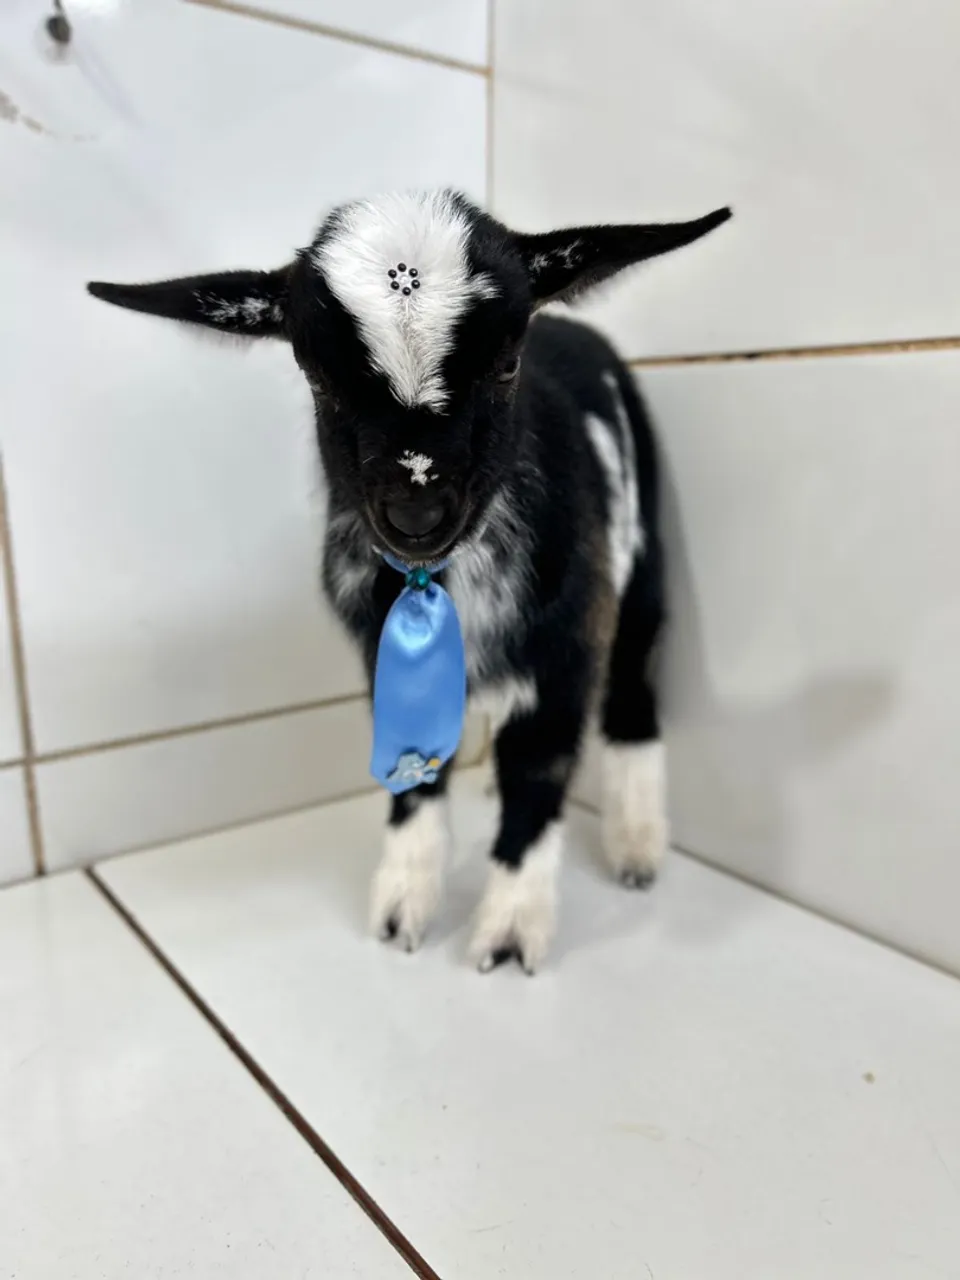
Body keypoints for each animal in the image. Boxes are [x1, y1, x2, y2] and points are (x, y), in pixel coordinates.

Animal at [88, 190, 730, 973]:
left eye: (507, 362)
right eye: (316, 375)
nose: (416, 513)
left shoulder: (563, 653)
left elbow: (538, 773)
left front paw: (509, 932)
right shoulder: (380, 658)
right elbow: (415, 776)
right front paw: (403, 908)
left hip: (642, 564)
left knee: (634, 686)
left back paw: (636, 846)